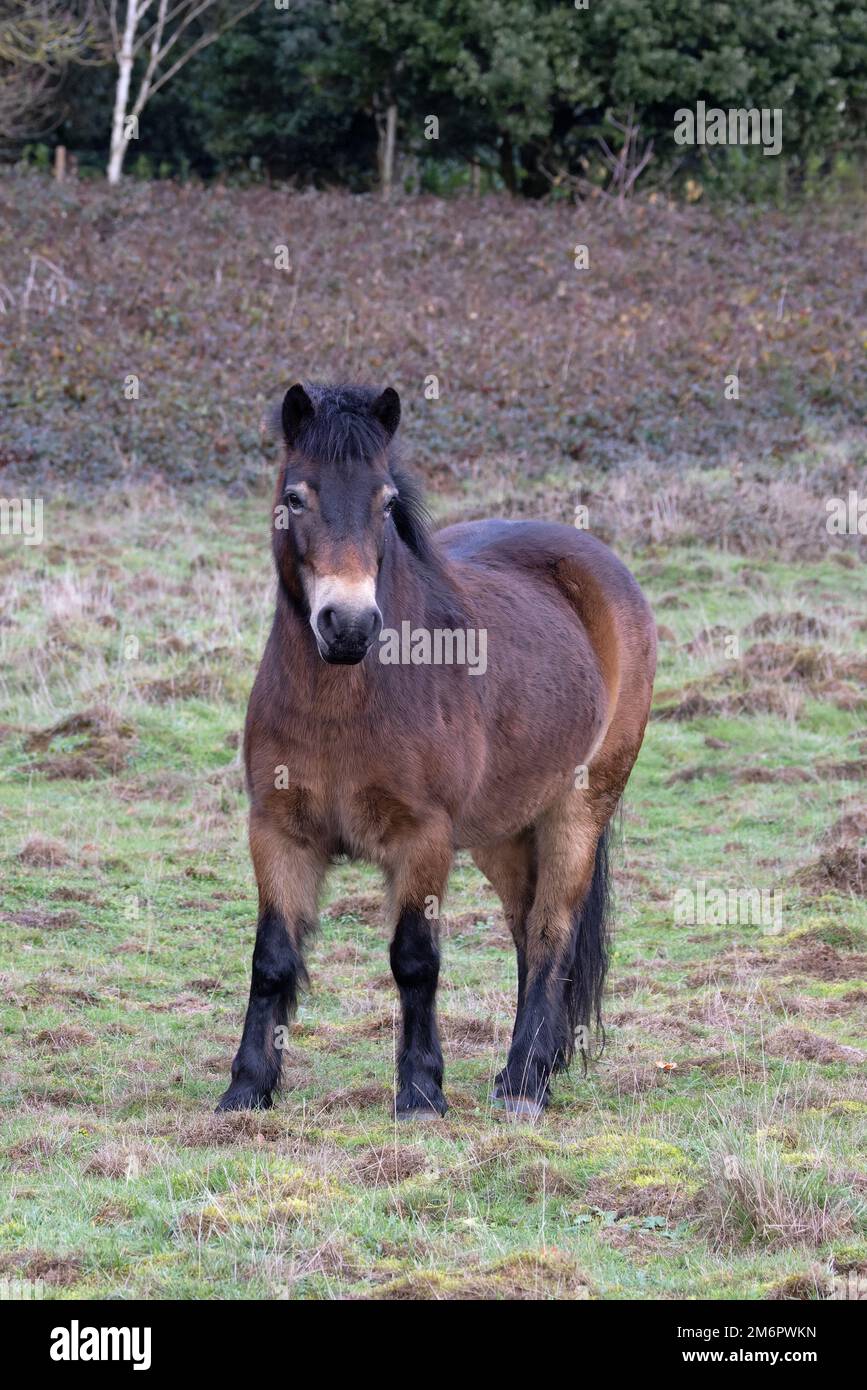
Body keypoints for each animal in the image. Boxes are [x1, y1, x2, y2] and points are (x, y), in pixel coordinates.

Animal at [217, 382, 656, 1120]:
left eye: (385, 502)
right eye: (296, 497)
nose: (347, 625)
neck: (344, 703)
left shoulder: (421, 838)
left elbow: (414, 959)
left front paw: (421, 1091)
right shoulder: (277, 832)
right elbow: (271, 959)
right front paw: (247, 1087)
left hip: (579, 807)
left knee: (550, 932)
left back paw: (523, 1083)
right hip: (503, 831)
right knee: (524, 928)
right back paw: (538, 1064)